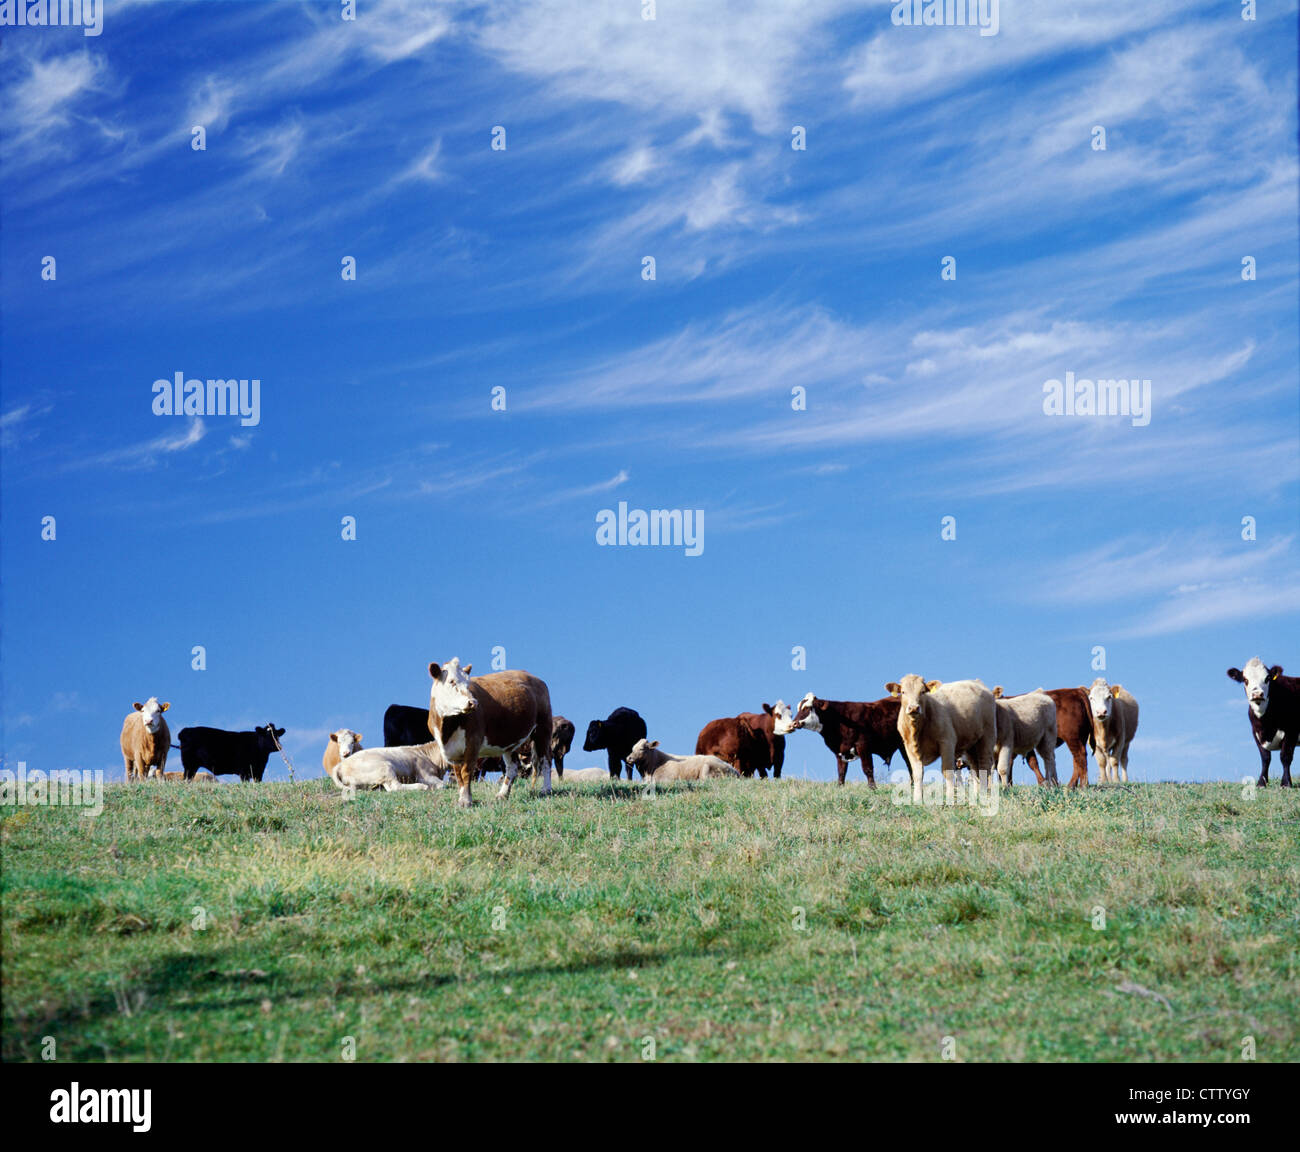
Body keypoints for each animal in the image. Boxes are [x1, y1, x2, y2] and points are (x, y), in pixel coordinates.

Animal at [428, 658, 553, 807]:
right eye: (451, 681)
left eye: (468, 683)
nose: (473, 702)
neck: (446, 730)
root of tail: (536, 679)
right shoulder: (452, 751)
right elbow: (458, 775)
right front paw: (462, 798)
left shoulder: (473, 742)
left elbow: (466, 772)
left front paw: (466, 800)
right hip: (510, 740)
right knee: (513, 767)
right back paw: (503, 794)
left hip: (543, 730)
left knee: (546, 760)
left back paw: (546, 789)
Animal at [1227, 659, 1298, 787]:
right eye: (1245, 680)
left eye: (1267, 678)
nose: (1257, 694)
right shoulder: (1255, 732)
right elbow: (1265, 758)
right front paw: (1261, 782)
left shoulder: (1291, 731)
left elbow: (1285, 757)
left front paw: (1286, 783)